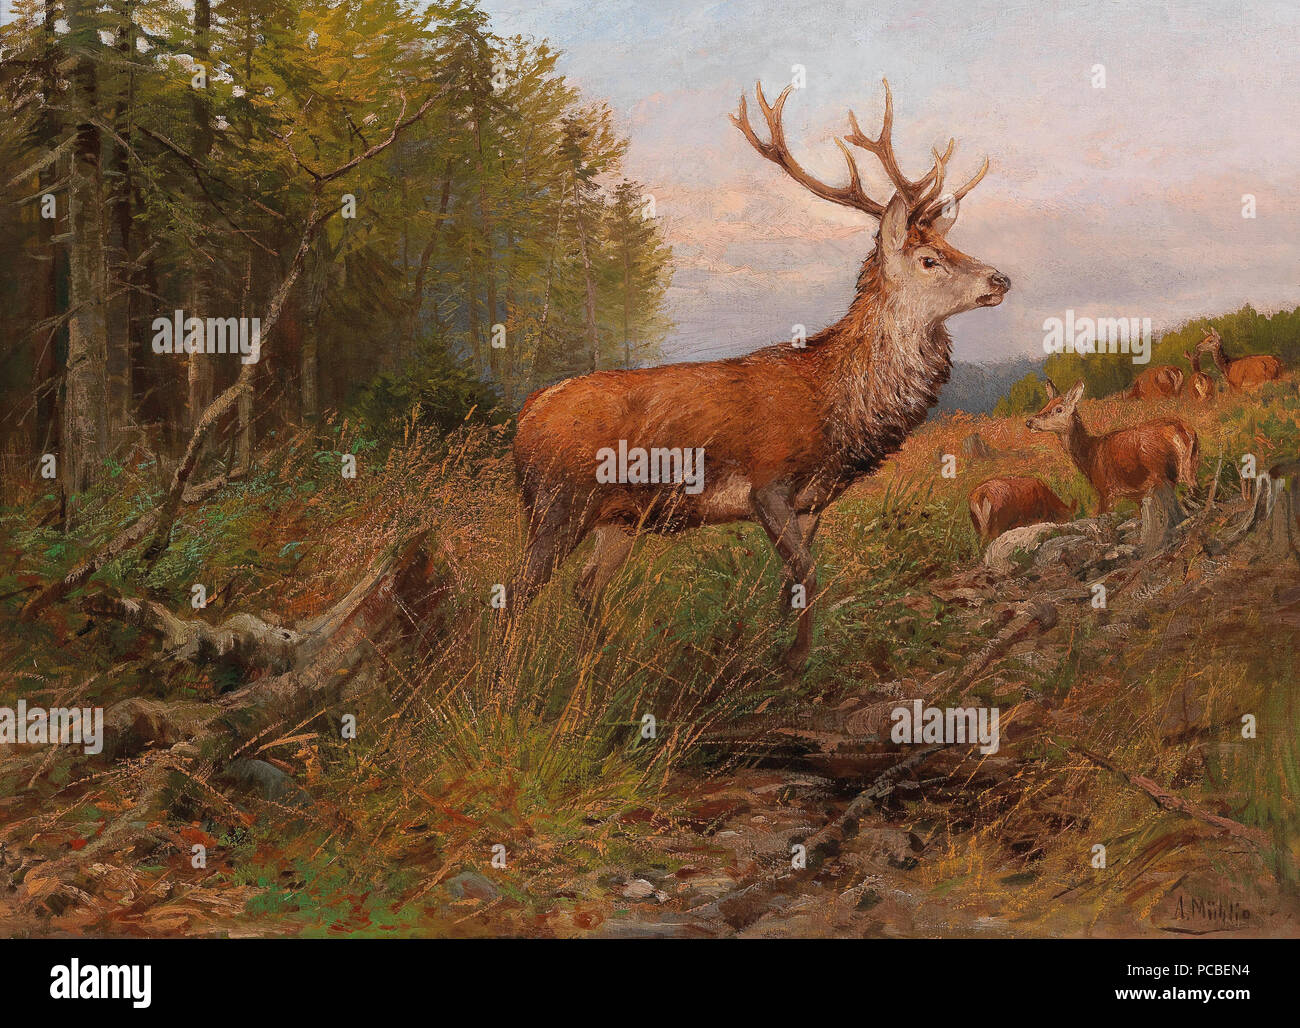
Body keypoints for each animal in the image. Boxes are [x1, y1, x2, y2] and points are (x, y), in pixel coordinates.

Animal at [508, 79, 1009, 671]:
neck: (836, 404)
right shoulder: (767, 483)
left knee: (585, 586)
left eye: (953, 244)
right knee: (516, 590)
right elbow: (807, 575)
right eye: (930, 258)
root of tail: (526, 414)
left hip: (618, 518)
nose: (1000, 279)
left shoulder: (813, 502)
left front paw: (770, 650)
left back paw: (606, 661)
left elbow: (791, 581)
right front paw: (793, 662)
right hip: (558, 502)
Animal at [1025, 379, 1198, 514]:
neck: (1089, 456)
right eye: (1046, 405)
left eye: (1059, 409)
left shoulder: (1106, 489)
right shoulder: (1138, 495)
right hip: (1189, 468)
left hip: (1162, 472)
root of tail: (1184, 430)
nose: (1029, 421)